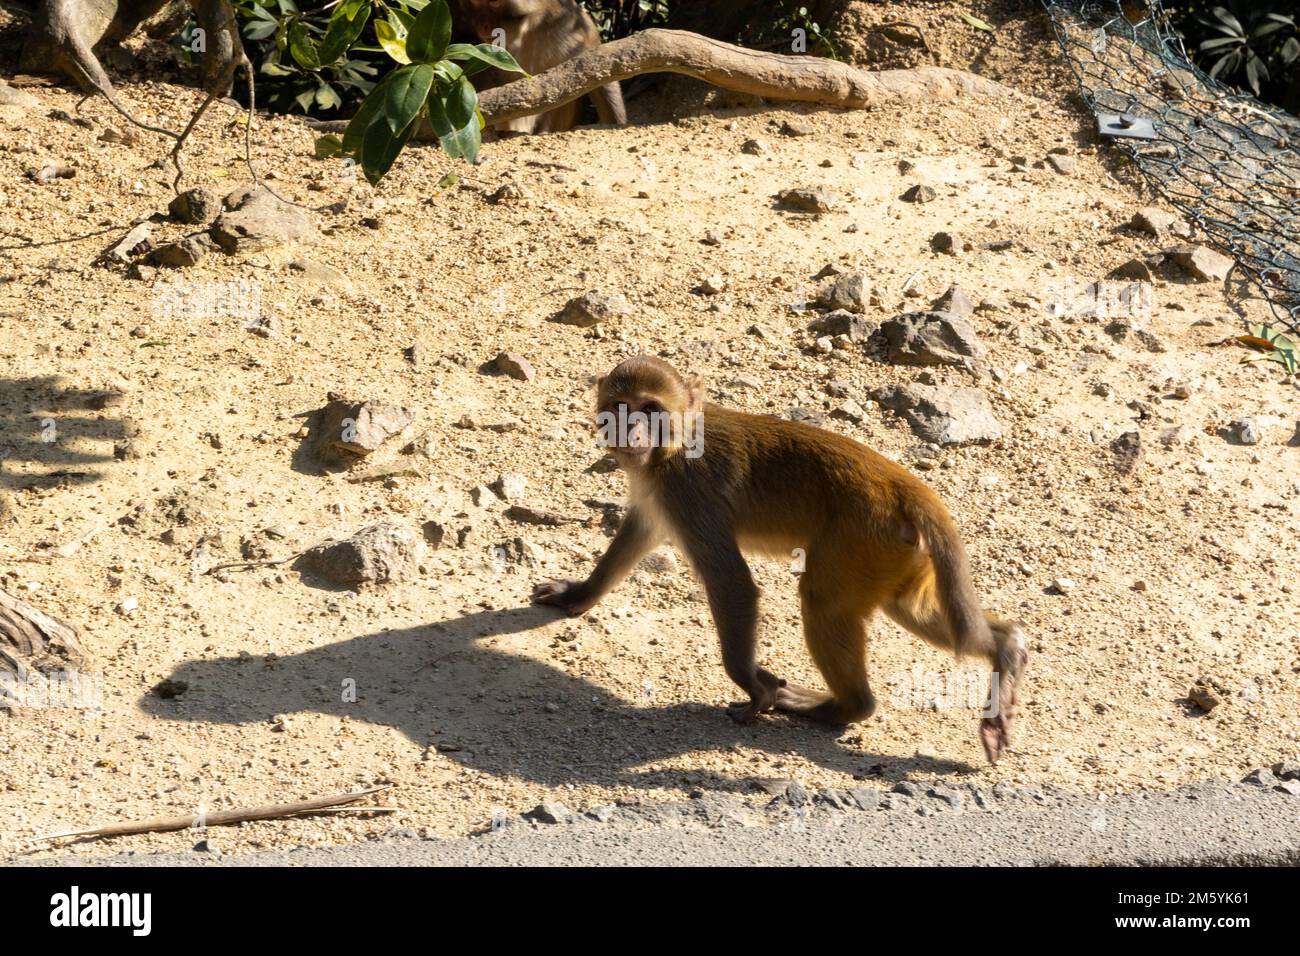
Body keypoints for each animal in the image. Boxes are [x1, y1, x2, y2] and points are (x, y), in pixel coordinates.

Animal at [533, 356, 1029, 763]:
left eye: (650, 410)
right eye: (620, 407)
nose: (630, 432)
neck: (672, 444)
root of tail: (901, 483)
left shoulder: (687, 490)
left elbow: (732, 582)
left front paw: (753, 686)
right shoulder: (658, 490)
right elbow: (640, 531)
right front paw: (580, 593)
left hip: (861, 535)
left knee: (823, 601)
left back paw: (845, 707)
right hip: (896, 550)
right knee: (908, 608)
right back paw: (1005, 648)